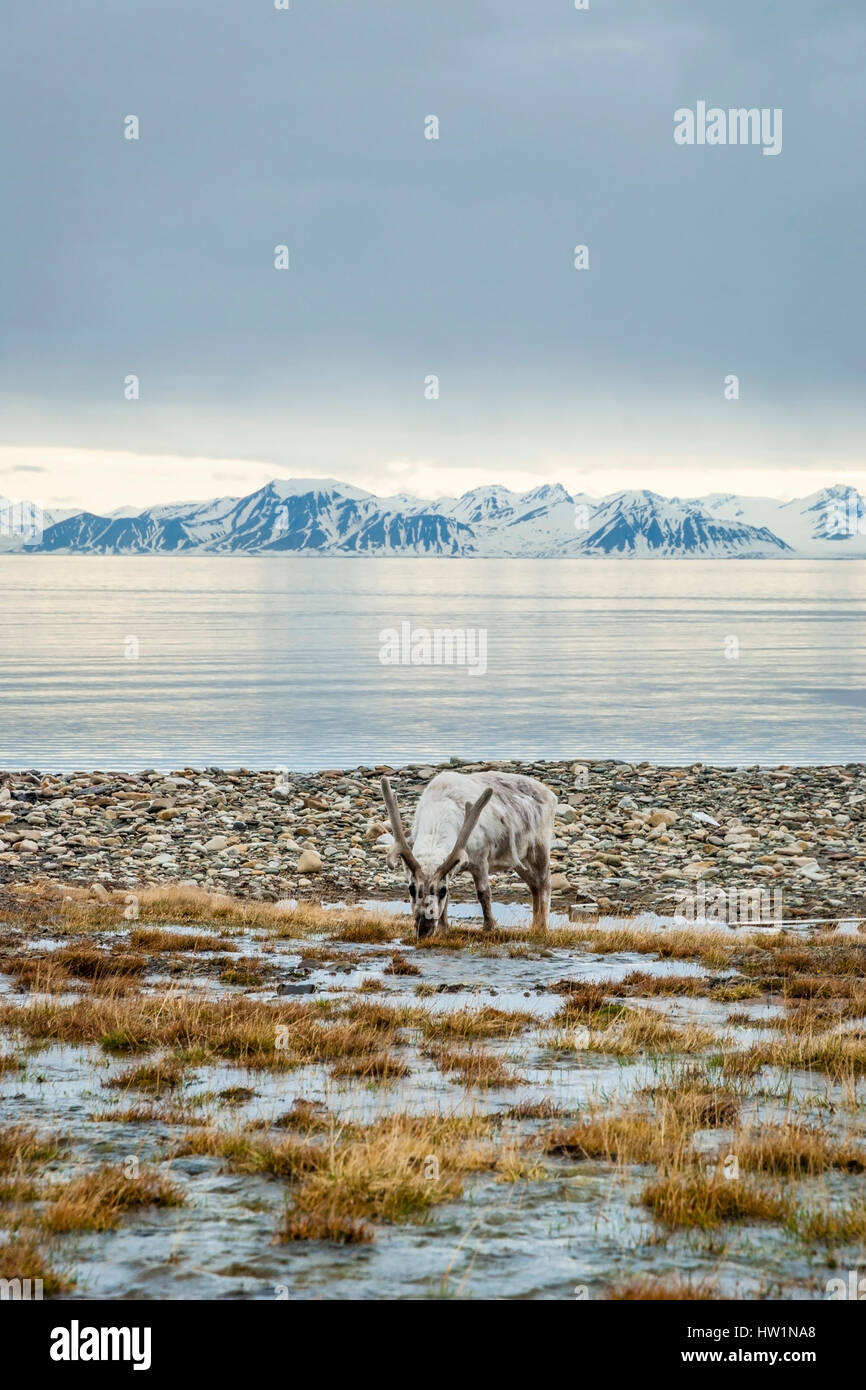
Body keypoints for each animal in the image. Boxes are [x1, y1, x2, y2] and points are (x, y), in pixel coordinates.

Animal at [380, 769, 557, 938]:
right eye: (411, 889)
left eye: (442, 891)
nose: (423, 929)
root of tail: (550, 794)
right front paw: (443, 929)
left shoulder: (481, 859)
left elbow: (484, 894)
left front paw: (490, 927)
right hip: (519, 858)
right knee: (534, 885)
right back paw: (534, 926)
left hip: (539, 846)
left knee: (545, 883)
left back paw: (542, 928)